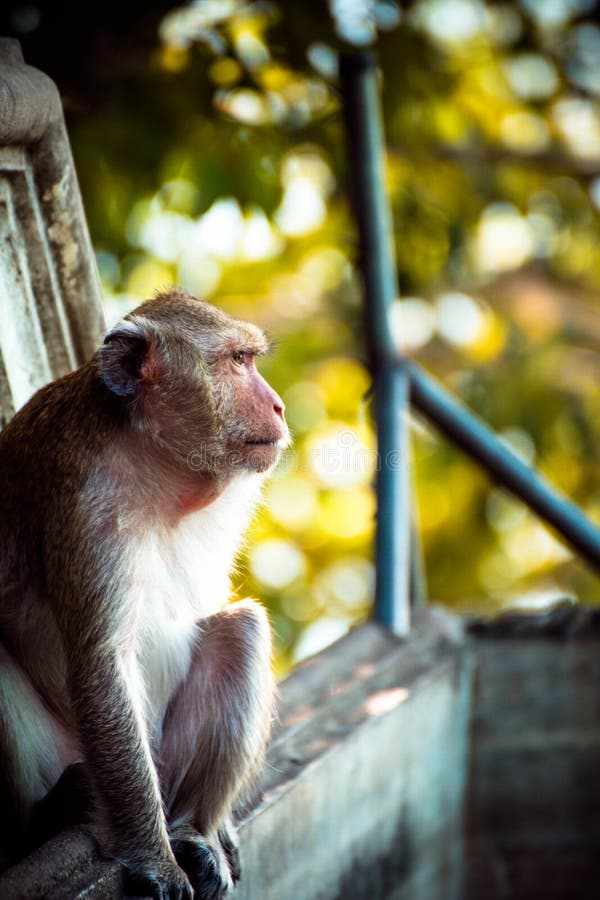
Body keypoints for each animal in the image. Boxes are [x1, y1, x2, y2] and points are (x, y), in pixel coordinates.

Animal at [0, 288, 289, 899]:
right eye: (238, 361)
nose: (277, 407)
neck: (156, 463)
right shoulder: (85, 504)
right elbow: (101, 663)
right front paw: (155, 861)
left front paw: (214, 835)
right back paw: (46, 818)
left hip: (167, 766)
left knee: (242, 630)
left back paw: (195, 832)